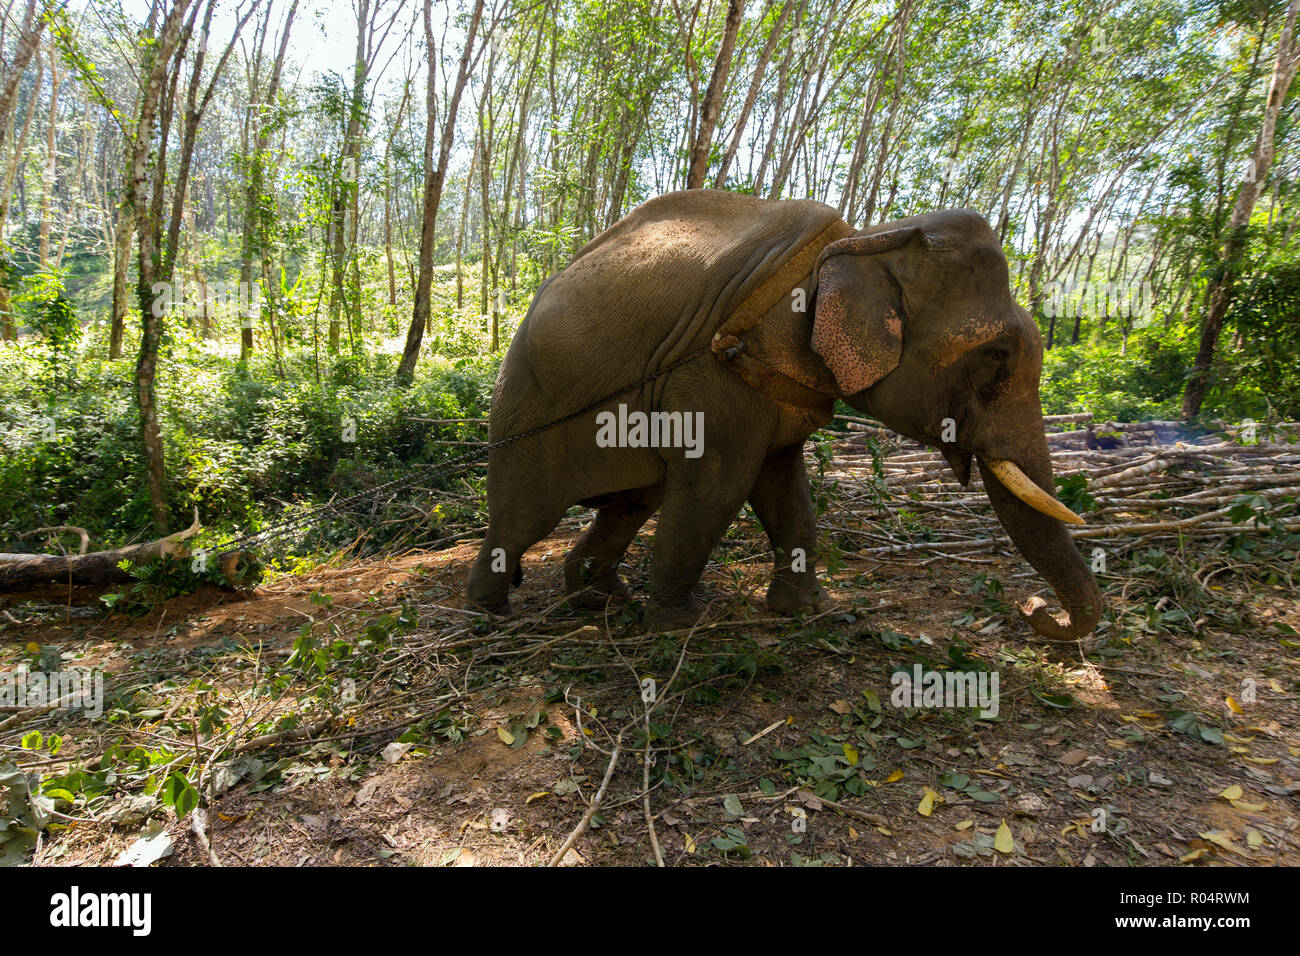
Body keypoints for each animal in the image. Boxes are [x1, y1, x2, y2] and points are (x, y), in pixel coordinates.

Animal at [465, 189, 1102, 641]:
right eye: (997, 357)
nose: (1034, 611)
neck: (863, 240)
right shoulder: (717, 371)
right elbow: (719, 488)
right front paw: (679, 627)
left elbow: (784, 487)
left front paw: (806, 611)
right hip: (526, 407)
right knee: (524, 518)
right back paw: (487, 617)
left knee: (632, 502)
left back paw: (599, 601)